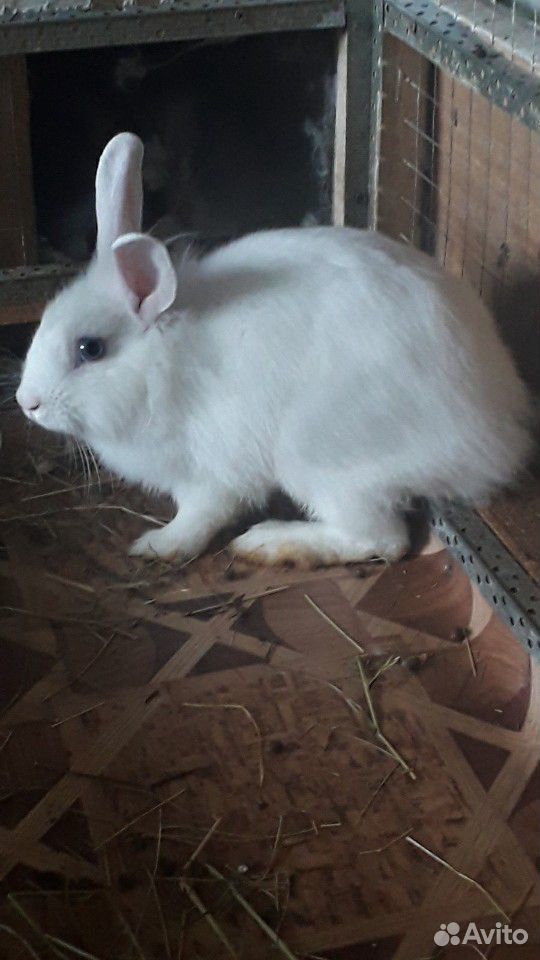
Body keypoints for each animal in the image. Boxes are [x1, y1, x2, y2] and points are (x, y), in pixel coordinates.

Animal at [16, 132, 532, 567]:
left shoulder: (211, 472)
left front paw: (158, 545)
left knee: (381, 539)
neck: (163, 365)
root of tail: (497, 432)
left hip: (322, 459)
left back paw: (270, 542)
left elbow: (200, 516)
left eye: (90, 348)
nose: (27, 403)